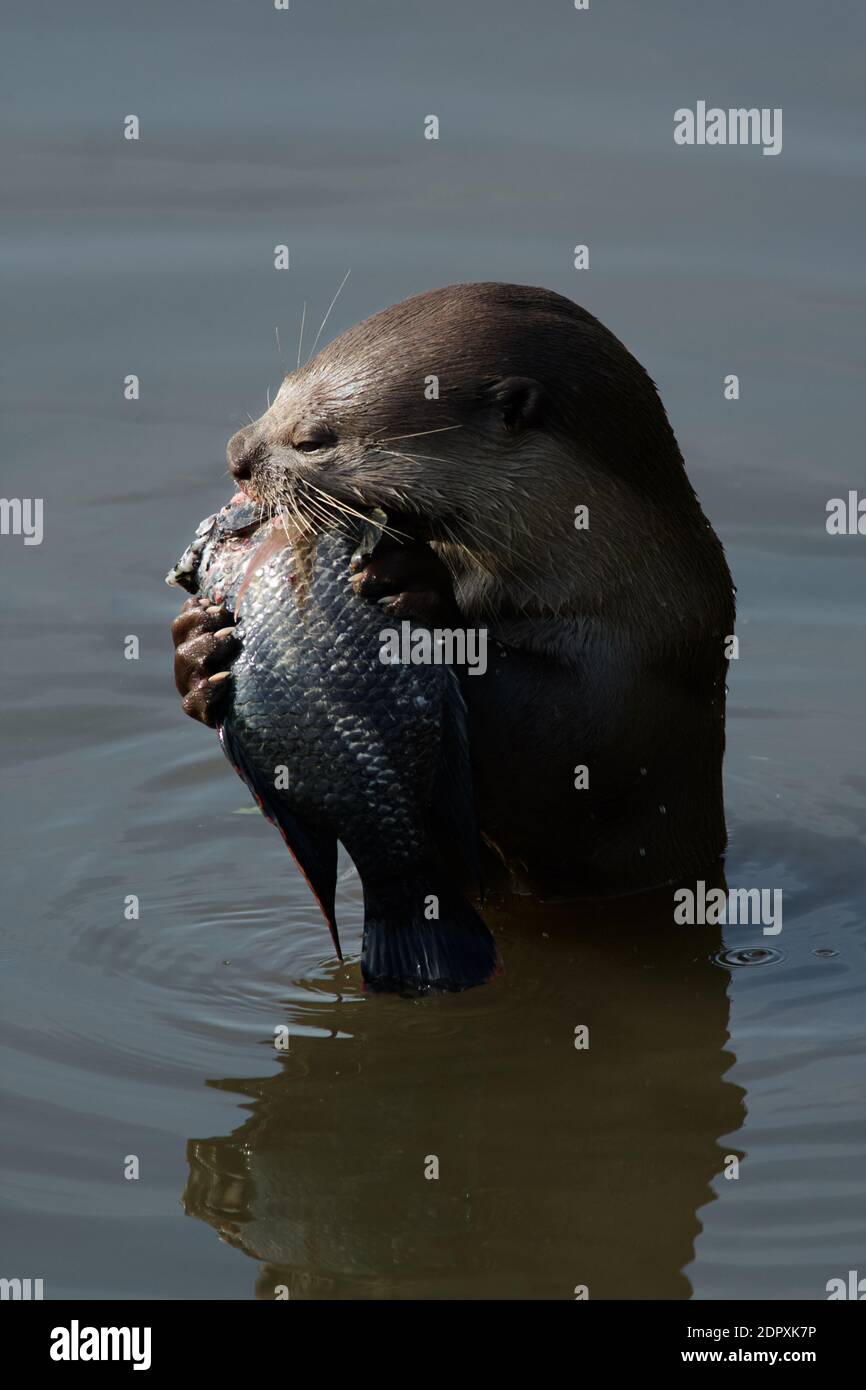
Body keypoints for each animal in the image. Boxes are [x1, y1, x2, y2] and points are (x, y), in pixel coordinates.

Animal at [172, 282, 734, 899]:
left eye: (313, 439)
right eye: (282, 390)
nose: (237, 457)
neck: (625, 590)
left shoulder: (631, 686)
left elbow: (547, 743)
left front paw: (414, 582)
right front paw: (194, 648)